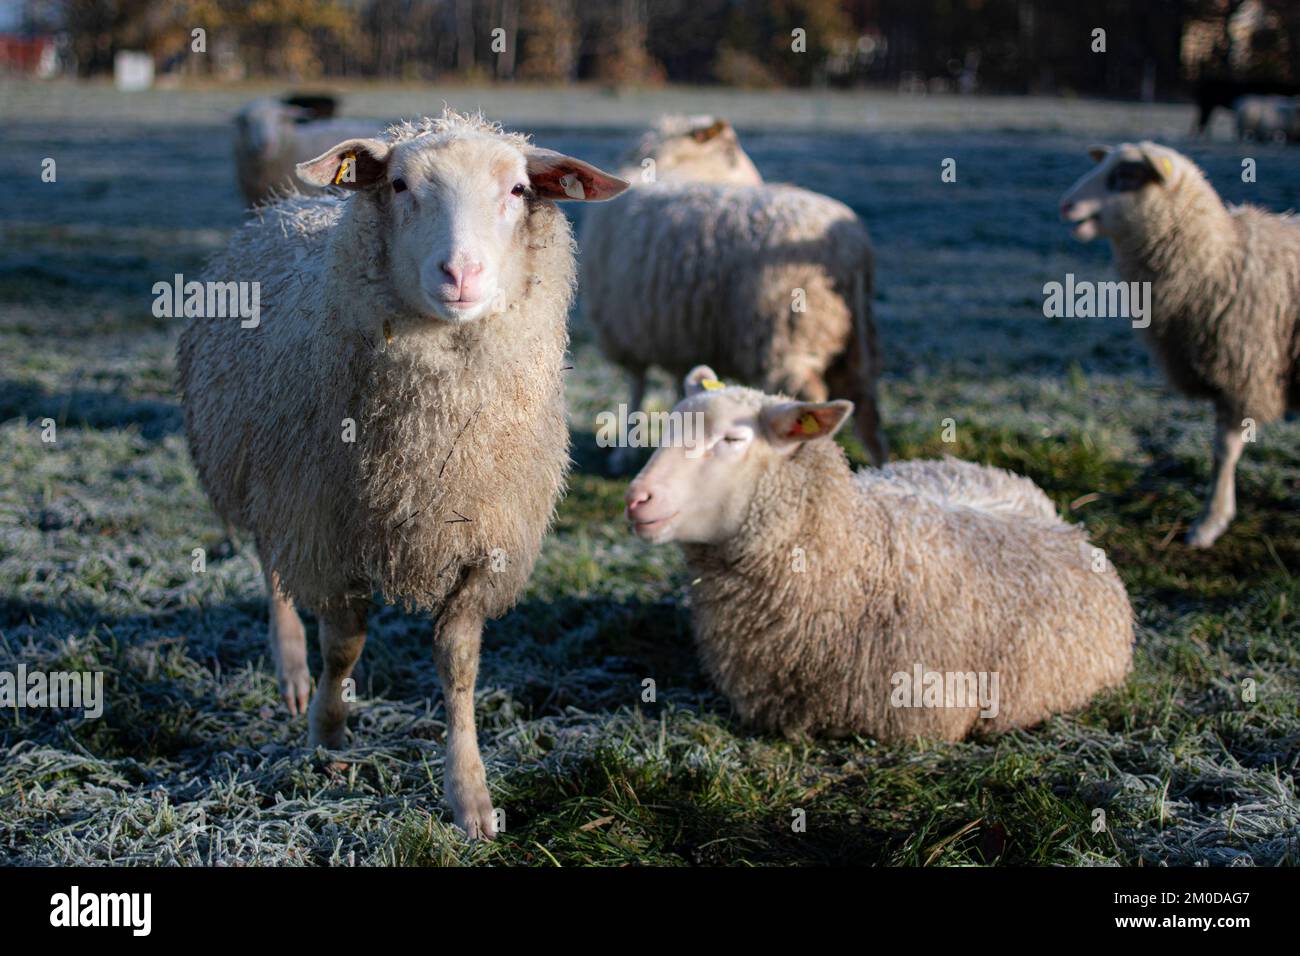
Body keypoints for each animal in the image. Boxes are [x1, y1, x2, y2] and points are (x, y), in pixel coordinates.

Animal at [178, 109, 628, 838]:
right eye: (398, 184)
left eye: (517, 189)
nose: (460, 273)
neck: (430, 442)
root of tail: (284, 207)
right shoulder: (325, 531)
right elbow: (344, 645)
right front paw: (327, 735)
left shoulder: (482, 542)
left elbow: (458, 664)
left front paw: (471, 797)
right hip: (264, 479)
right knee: (274, 575)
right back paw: (291, 667)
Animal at [579, 116, 886, 470]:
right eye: (730, 153)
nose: (758, 179)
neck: (676, 166)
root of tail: (852, 248)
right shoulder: (674, 332)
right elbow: (677, 383)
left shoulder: (629, 329)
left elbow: (636, 387)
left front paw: (623, 453)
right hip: (855, 338)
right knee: (866, 404)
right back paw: (879, 465)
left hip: (789, 334)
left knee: (810, 397)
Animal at [1060, 141, 1300, 548]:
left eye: (1125, 175)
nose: (1066, 204)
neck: (1220, 259)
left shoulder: (1243, 371)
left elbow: (1224, 452)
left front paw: (1209, 523)